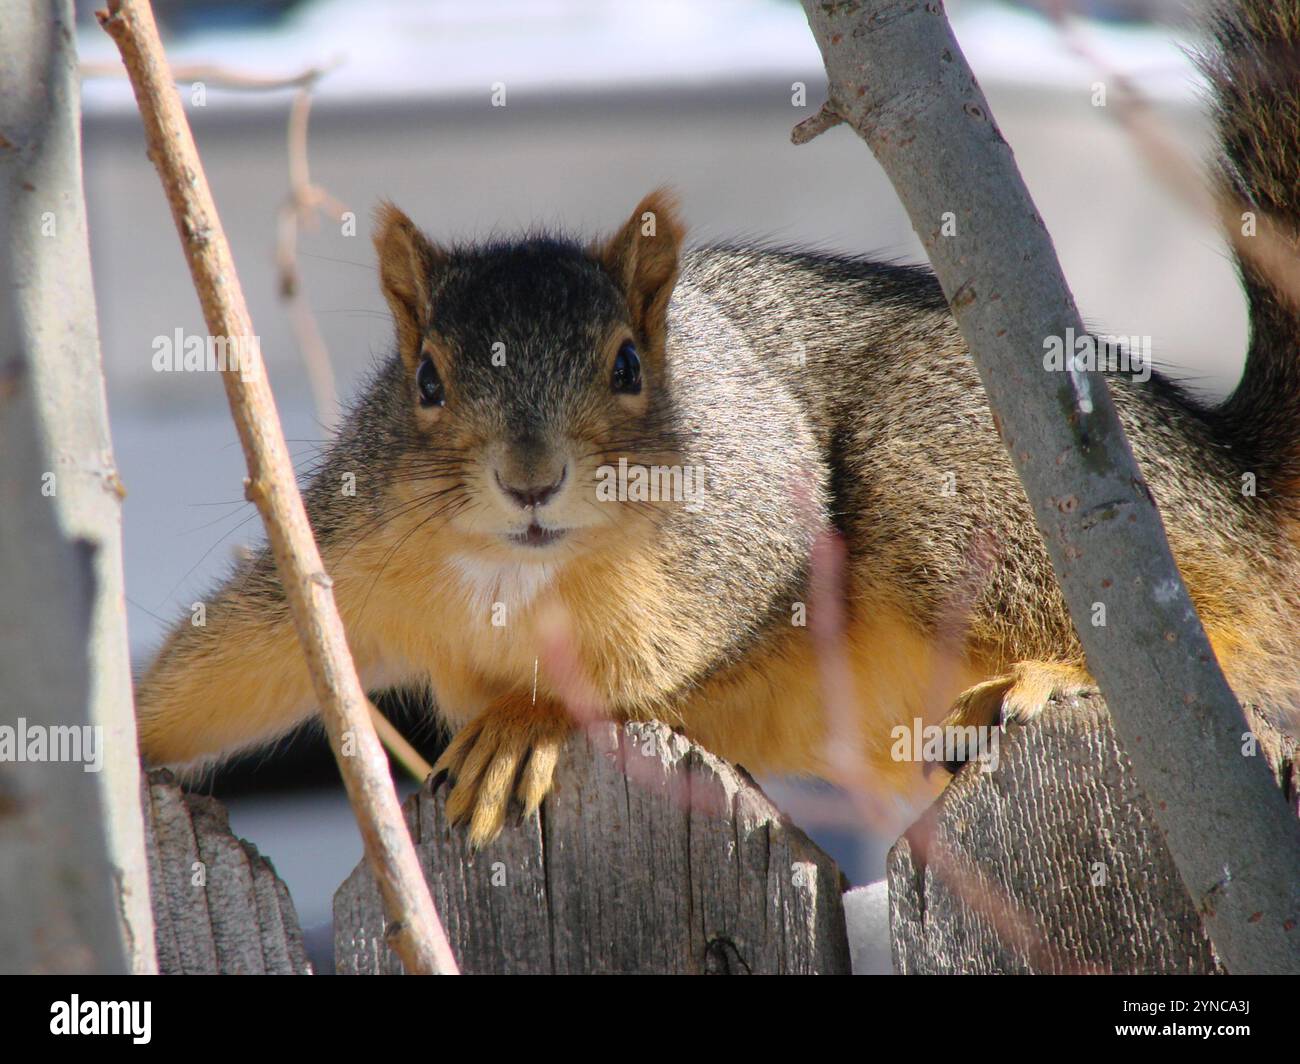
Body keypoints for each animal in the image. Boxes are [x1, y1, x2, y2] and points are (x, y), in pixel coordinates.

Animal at [137, 0, 1300, 845]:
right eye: (424, 379)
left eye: (629, 365)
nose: (529, 480)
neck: (519, 578)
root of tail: (1225, 476)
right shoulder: (344, 560)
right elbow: (233, 660)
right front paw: (115, 742)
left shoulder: (748, 540)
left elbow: (653, 664)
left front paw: (530, 722)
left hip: (952, 476)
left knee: (1216, 653)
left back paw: (1053, 673)